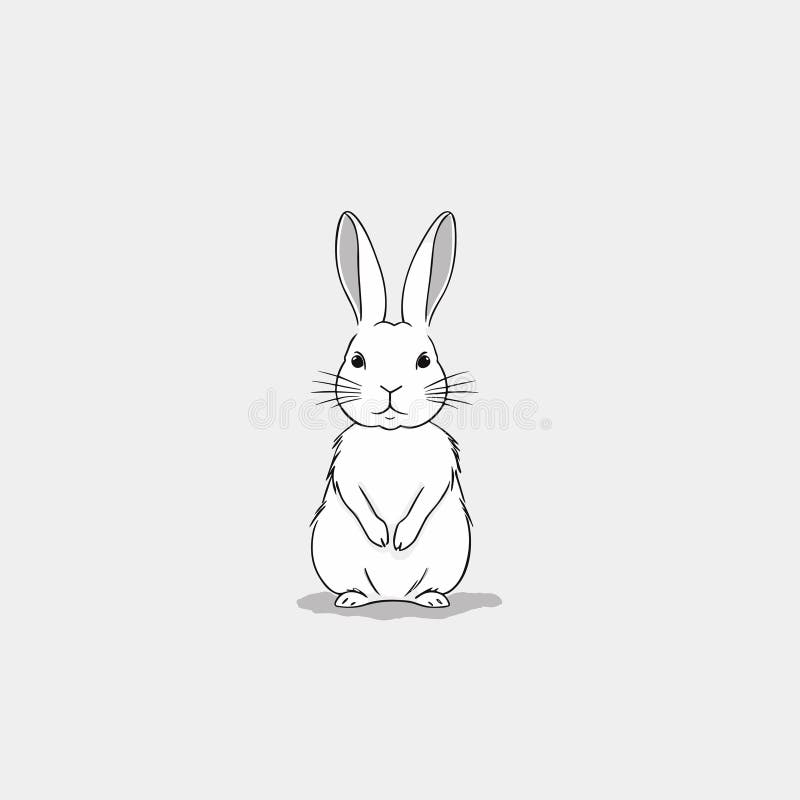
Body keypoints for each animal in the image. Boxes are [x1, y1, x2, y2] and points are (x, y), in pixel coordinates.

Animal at [310, 211, 473, 608]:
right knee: (357, 587)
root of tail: (392, 595)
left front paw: (400, 540)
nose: (390, 388)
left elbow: (427, 499)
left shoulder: (439, 468)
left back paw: (432, 599)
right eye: (357, 360)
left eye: (424, 360)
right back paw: (351, 599)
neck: (392, 437)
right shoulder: (346, 466)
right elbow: (355, 496)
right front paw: (381, 538)